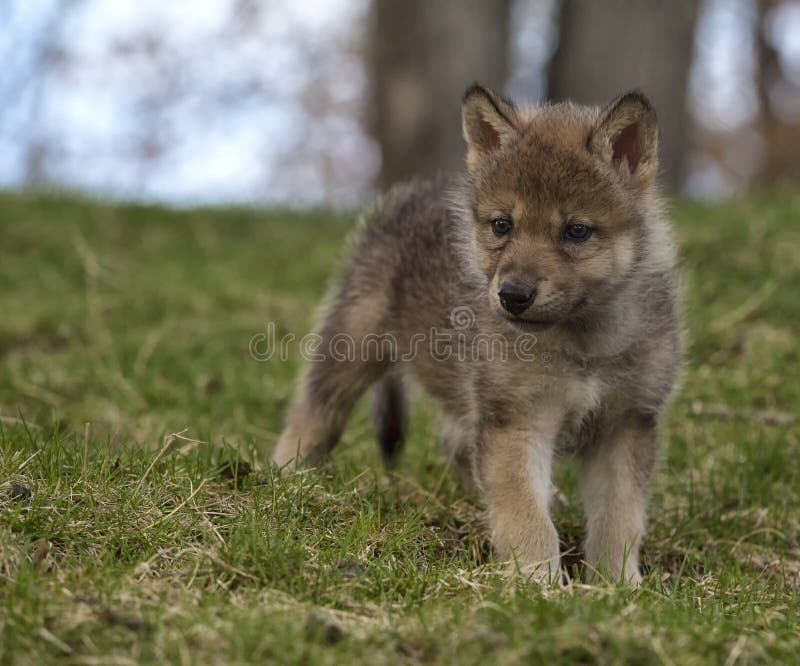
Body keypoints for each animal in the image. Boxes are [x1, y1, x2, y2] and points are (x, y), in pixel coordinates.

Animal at [272, 84, 681, 584]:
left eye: (576, 231)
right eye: (502, 225)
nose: (513, 295)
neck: (582, 343)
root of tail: (419, 191)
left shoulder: (626, 424)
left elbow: (619, 519)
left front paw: (617, 584)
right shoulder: (515, 420)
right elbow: (526, 515)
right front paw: (537, 581)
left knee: (458, 444)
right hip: (354, 343)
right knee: (315, 411)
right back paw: (286, 477)